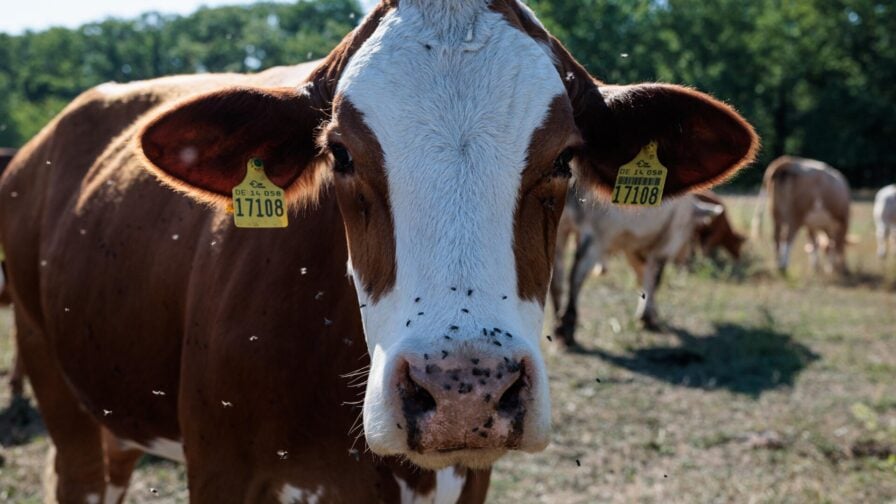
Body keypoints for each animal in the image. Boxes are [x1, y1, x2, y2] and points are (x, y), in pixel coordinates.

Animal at [551, 193, 725, 345]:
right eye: (692, 229)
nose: (688, 258)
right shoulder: (666, 241)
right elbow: (655, 278)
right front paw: (647, 318)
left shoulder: (634, 245)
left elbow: (642, 276)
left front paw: (650, 312)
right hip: (596, 232)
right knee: (576, 277)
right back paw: (567, 330)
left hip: (562, 227)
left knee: (556, 279)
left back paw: (557, 326)